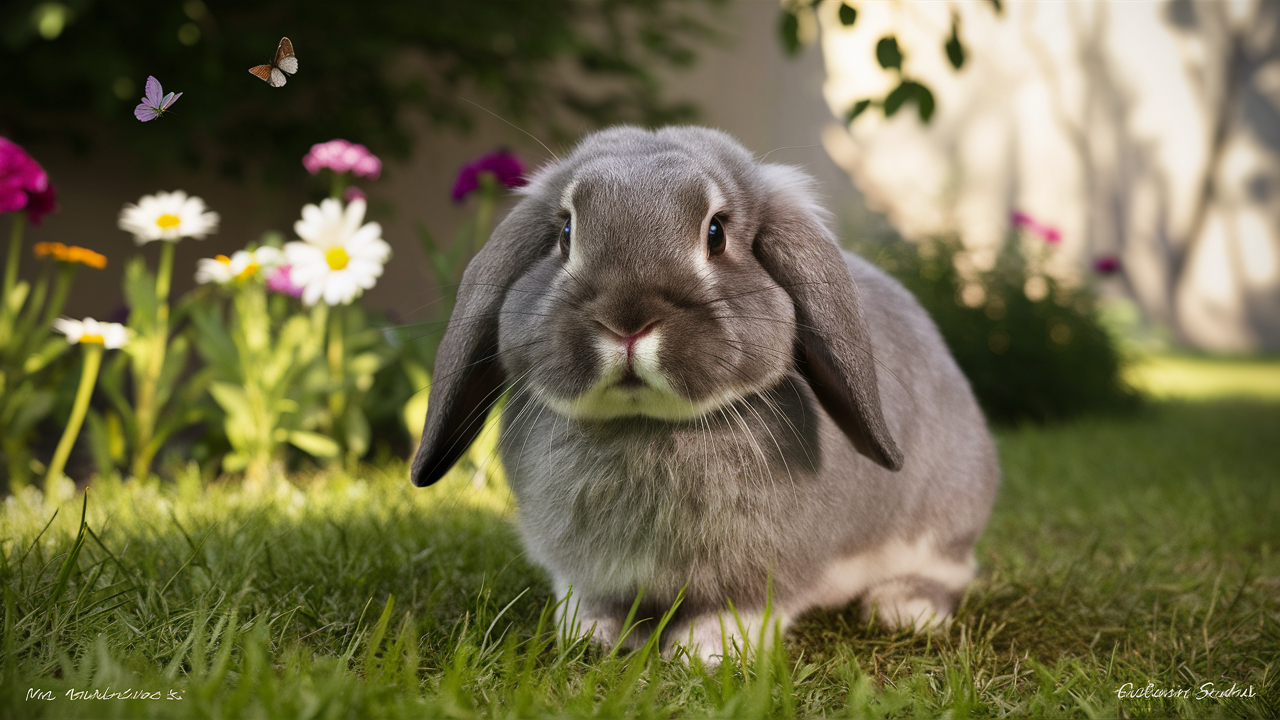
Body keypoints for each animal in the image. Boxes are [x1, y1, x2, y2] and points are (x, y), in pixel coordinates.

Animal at [411, 126, 998, 662]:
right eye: (566, 233)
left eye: (715, 233)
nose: (627, 319)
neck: (645, 425)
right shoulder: (586, 571)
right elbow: (595, 602)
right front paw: (591, 636)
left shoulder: (765, 570)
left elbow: (738, 608)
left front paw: (704, 652)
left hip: (942, 524)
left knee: (951, 571)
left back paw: (905, 610)